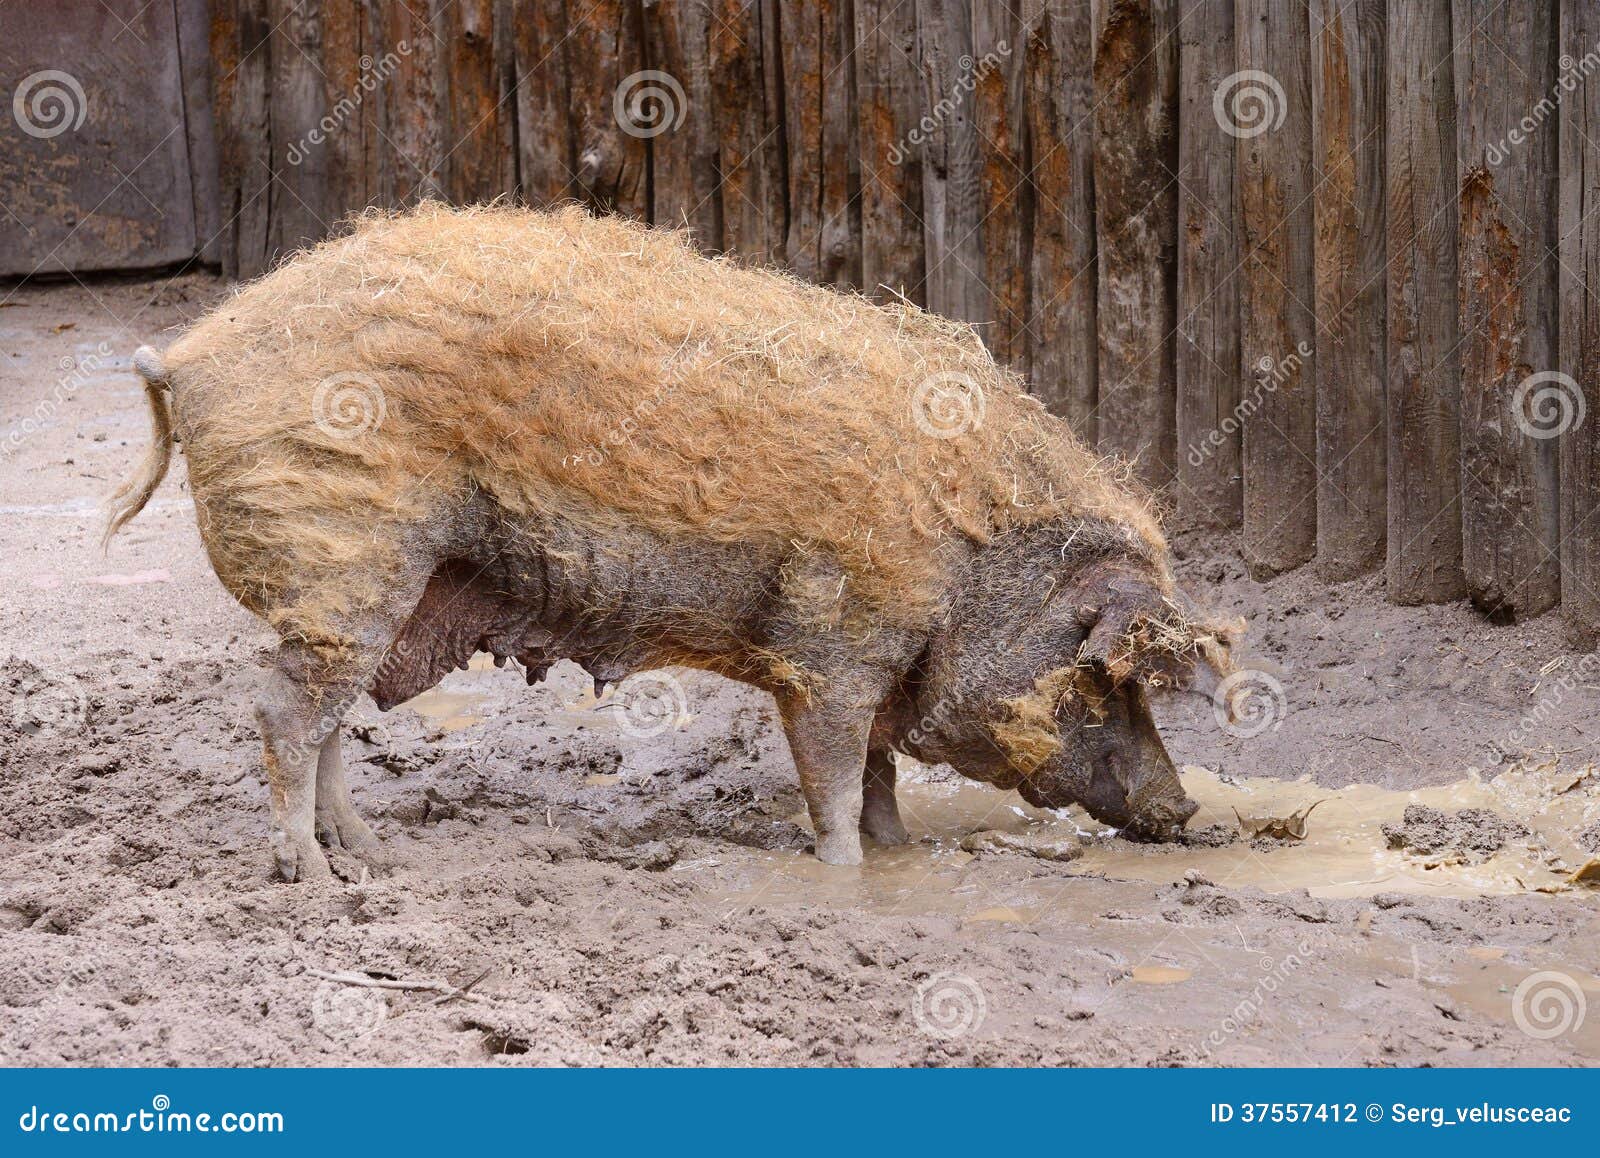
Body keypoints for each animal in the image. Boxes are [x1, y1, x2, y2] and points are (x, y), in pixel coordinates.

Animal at [105, 203, 1233, 882]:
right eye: (1098, 676)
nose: (1185, 808)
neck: (971, 554)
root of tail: (188, 361)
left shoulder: (863, 663)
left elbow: (877, 774)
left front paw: (898, 852)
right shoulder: (831, 644)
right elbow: (835, 773)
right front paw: (846, 876)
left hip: (369, 590)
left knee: (329, 716)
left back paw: (373, 853)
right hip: (339, 557)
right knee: (284, 712)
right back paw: (312, 876)